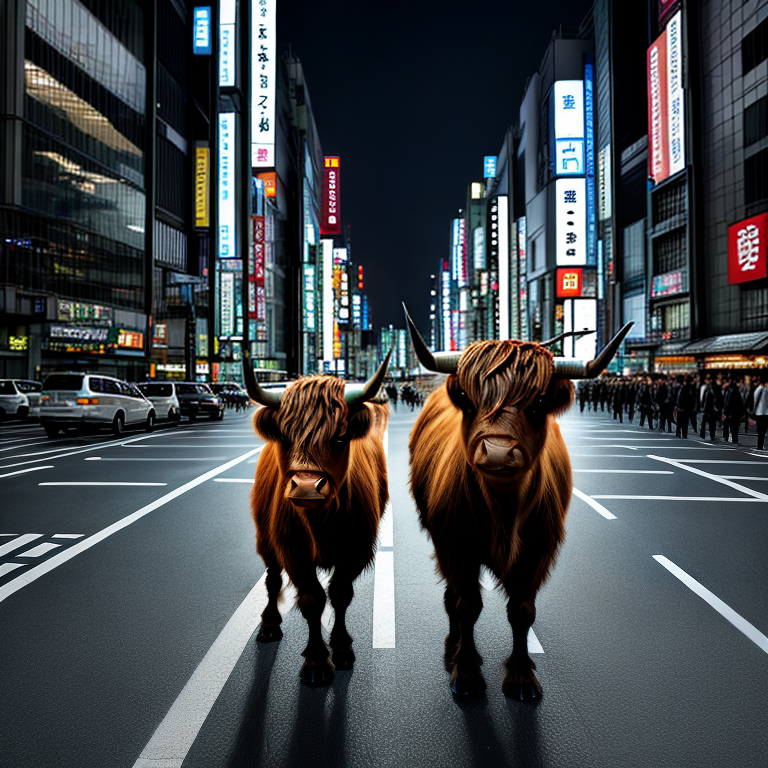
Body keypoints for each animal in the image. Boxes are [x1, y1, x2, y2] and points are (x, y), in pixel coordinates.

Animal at [242, 350, 391, 687]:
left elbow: (340, 594)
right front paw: (316, 662)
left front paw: (342, 648)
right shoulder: (292, 549)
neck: (320, 522)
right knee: (272, 577)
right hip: (264, 538)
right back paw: (269, 624)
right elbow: (312, 599)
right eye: (284, 437)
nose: (307, 486)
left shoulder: (356, 550)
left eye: (339, 438)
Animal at [404, 305, 631, 701]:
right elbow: (468, 605)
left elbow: (523, 611)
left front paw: (522, 676)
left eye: (539, 403)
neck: (504, 510)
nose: (497, 452)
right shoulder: (456, 545)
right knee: (452, 596)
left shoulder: (538, 550)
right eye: (467, 398)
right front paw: (467, 673)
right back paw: (454, 643)